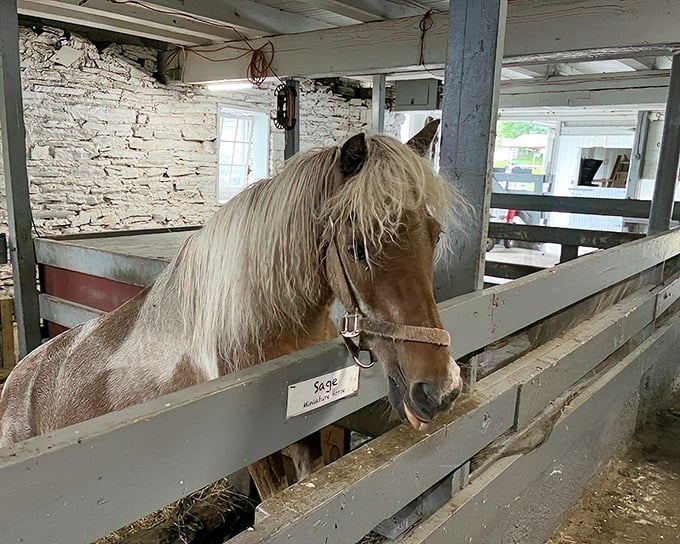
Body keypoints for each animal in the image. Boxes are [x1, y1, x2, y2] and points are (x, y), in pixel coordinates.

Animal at [0, 119, 464, 499]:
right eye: (358, 247)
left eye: (435, 234)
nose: (440, 389)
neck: (271, 329)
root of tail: (16, 382)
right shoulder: (258, 456)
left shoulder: (303, 432)